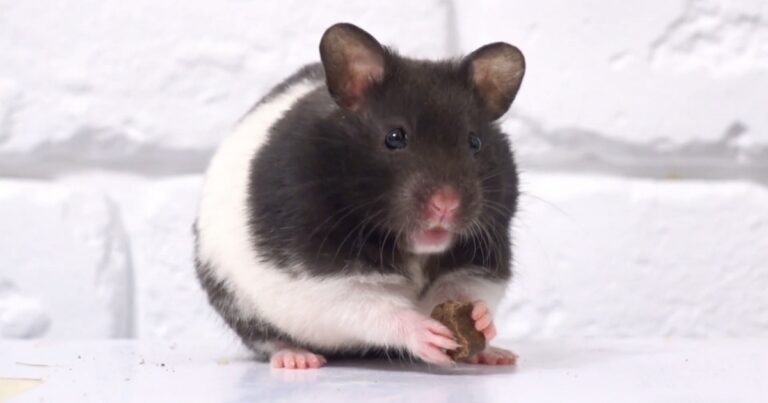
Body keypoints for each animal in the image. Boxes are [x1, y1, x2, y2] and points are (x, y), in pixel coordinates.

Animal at [195, 23, 525, 369]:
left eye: (474, 142)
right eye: (394, 137)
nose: (446, 204)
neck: (416, 250)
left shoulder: (486, 254)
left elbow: (467, 288)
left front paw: (480, 319)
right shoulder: (319, 275)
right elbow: (372, 307)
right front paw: (427, 335)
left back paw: (496, 354)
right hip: (233, 298)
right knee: (267, 338)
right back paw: (297, 359)